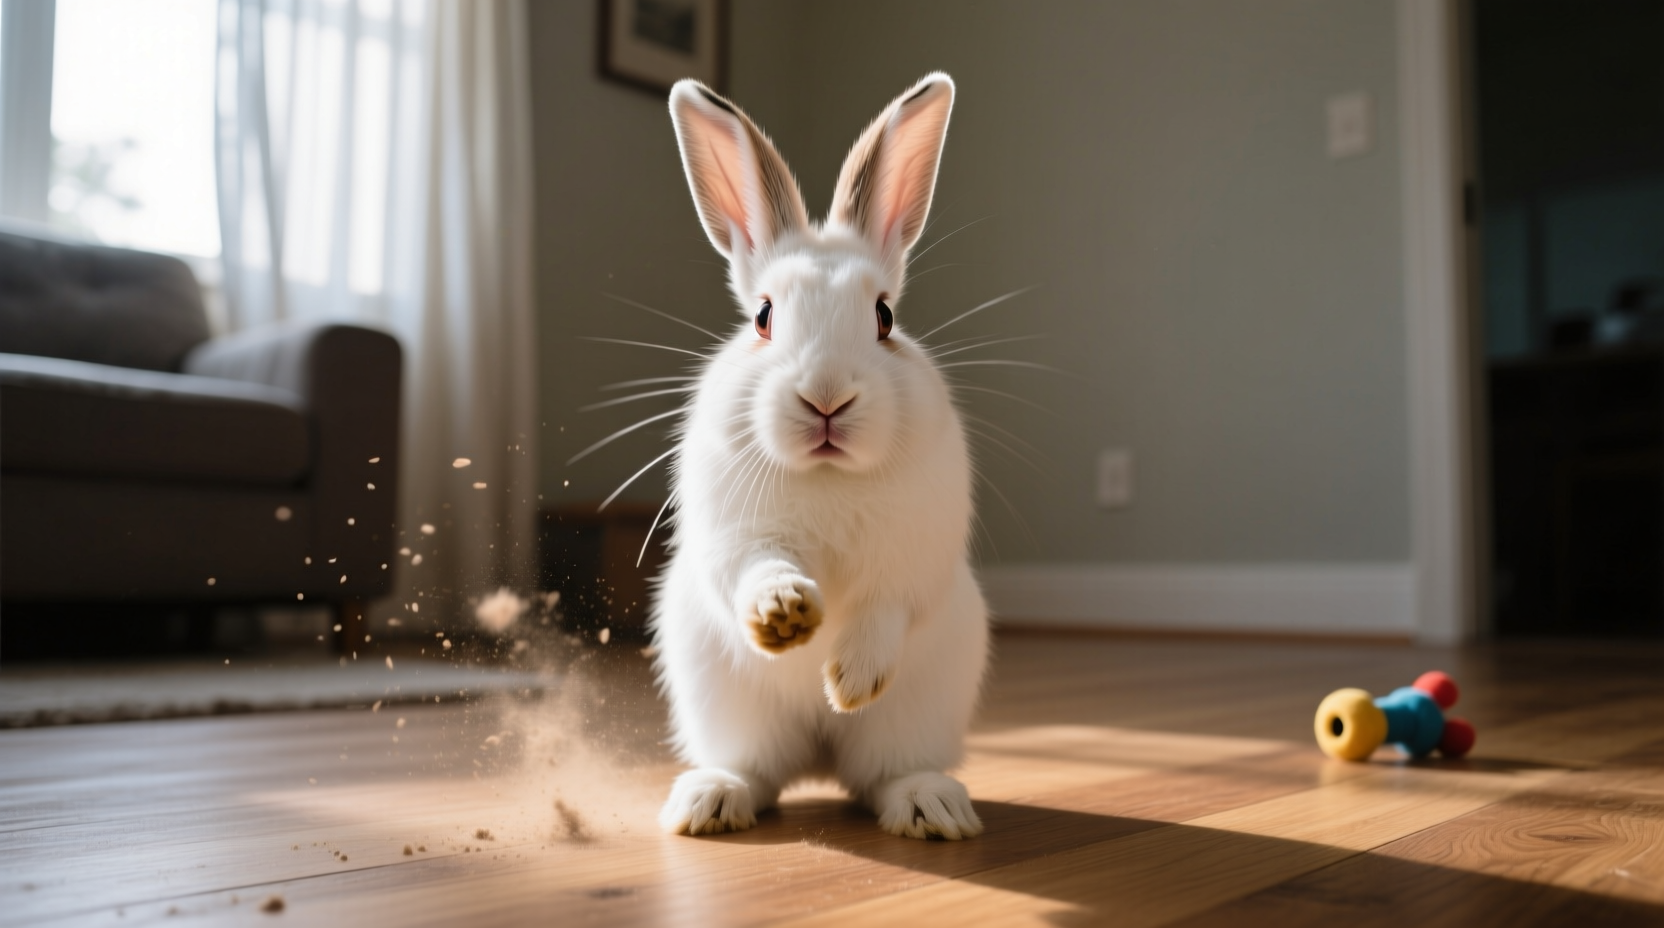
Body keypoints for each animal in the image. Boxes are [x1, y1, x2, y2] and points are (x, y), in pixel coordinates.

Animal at [652, 72, 988, 841]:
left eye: (885, 317)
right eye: (763, 317)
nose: (826, 397)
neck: (829, 475)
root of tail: (820, 759)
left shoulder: (914, 563)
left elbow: (888, 606)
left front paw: (850, 679)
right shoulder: (734, 540)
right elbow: (755, 571)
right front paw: (784, 613)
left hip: (917, 711)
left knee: (886, 774)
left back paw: (931, 807)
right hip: (727, 704)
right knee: (755, 771)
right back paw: (709, 802)